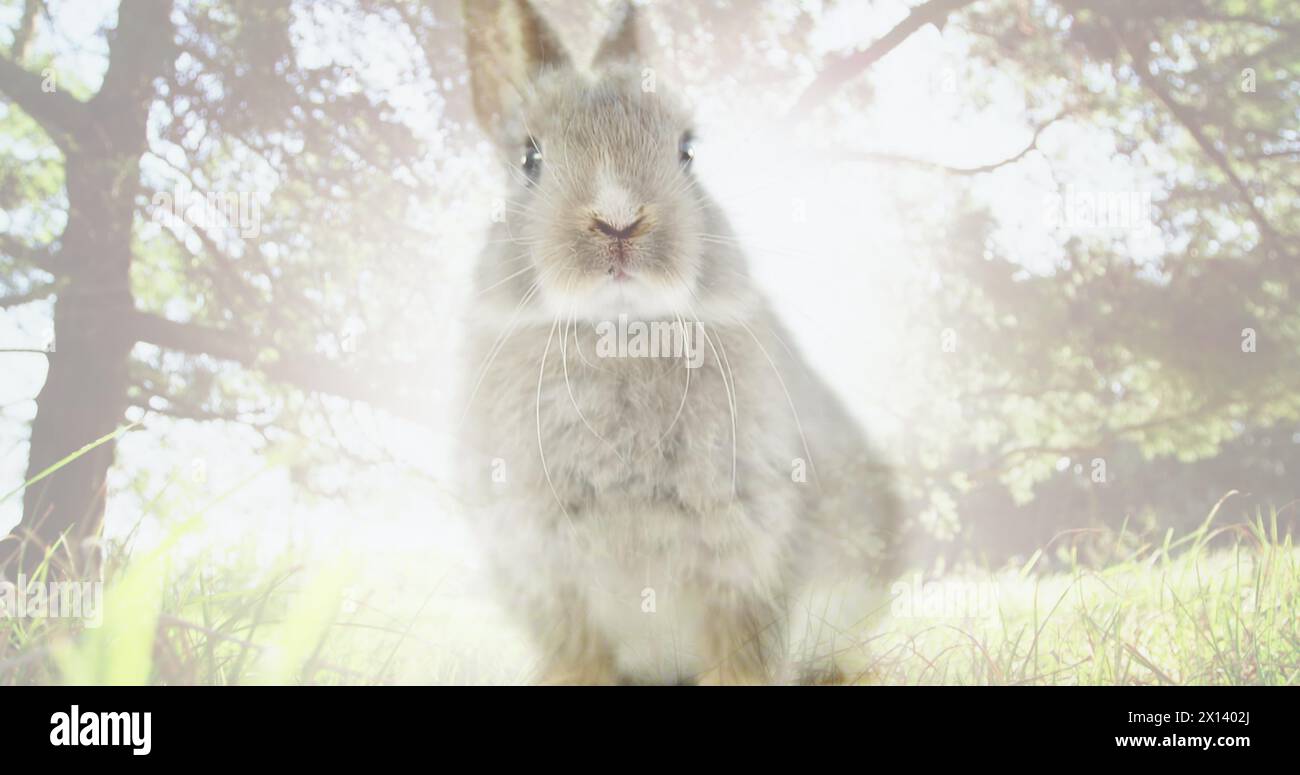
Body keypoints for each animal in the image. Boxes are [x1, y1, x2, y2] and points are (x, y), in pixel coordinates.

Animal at [459, 0, 903, 684]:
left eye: (687, 152)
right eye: (530, 160)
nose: (619, 222)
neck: (618, 337)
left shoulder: (749, 568)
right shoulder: (550, 584)